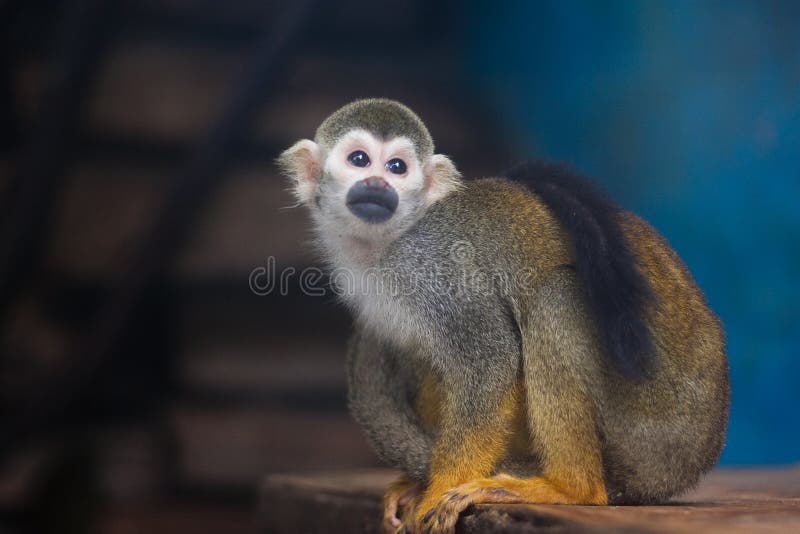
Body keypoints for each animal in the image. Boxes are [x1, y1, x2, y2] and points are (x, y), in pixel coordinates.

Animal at [277, 98, 730, 534]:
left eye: (397, 167)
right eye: (359, 160)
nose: (377, 184)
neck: (389, 243)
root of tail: (693, 459)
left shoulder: (436, 269)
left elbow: (489, 360)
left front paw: (435, 493)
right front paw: (422, 484)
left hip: (649, 430)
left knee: (556, 298)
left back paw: (570, 488)